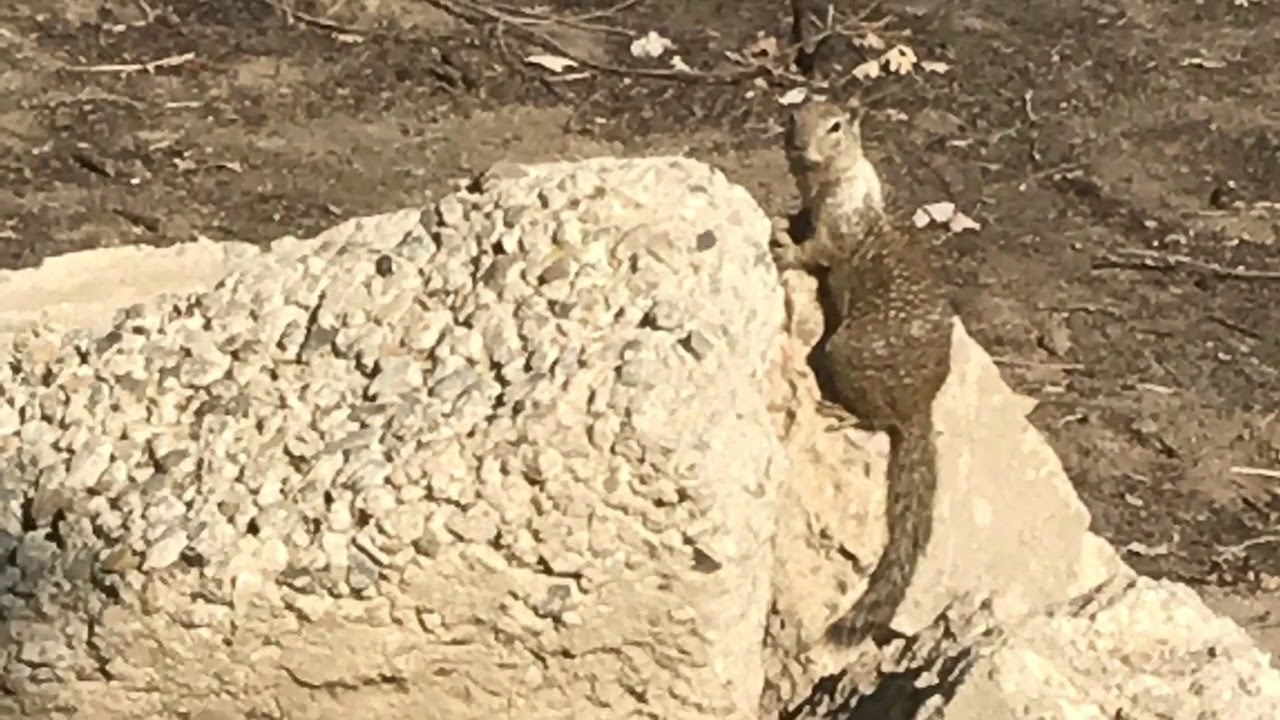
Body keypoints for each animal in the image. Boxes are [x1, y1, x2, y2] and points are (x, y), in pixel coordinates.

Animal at [773, 98, 953, 646]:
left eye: (836, 126)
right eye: (791, 118)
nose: (799, 145)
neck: (829, 183)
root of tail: (919, 406)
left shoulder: (839, 229)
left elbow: (817, 252)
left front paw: (784, 246)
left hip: (843, 352)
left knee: (879, 421)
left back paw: (846, 412)